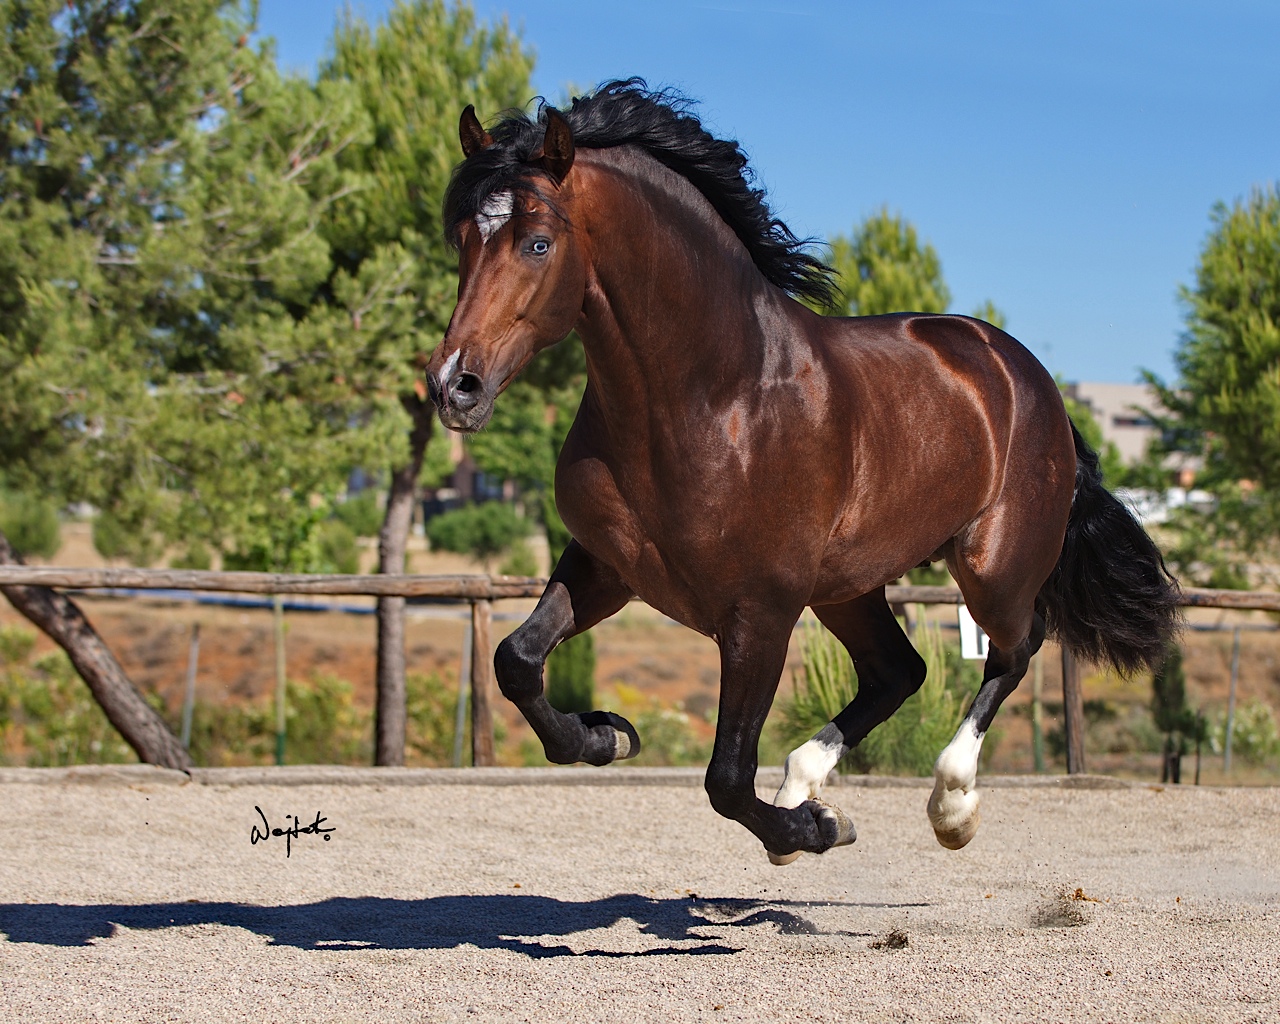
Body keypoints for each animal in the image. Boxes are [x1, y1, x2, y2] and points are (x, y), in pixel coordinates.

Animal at [425, 80, 1179, 863]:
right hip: (848, 587)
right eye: (464, 239)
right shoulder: (608, 565)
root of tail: (1030, 376)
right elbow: (516, 659)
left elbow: (727, 777)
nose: (455, 387)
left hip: (991, 568)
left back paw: (948, 806)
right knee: (900, 670)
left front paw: (815, 829)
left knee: (1015, 646)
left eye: (539, 243)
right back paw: (802, 781)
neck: (708, 397)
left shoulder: (761, 610)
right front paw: (607, 735)